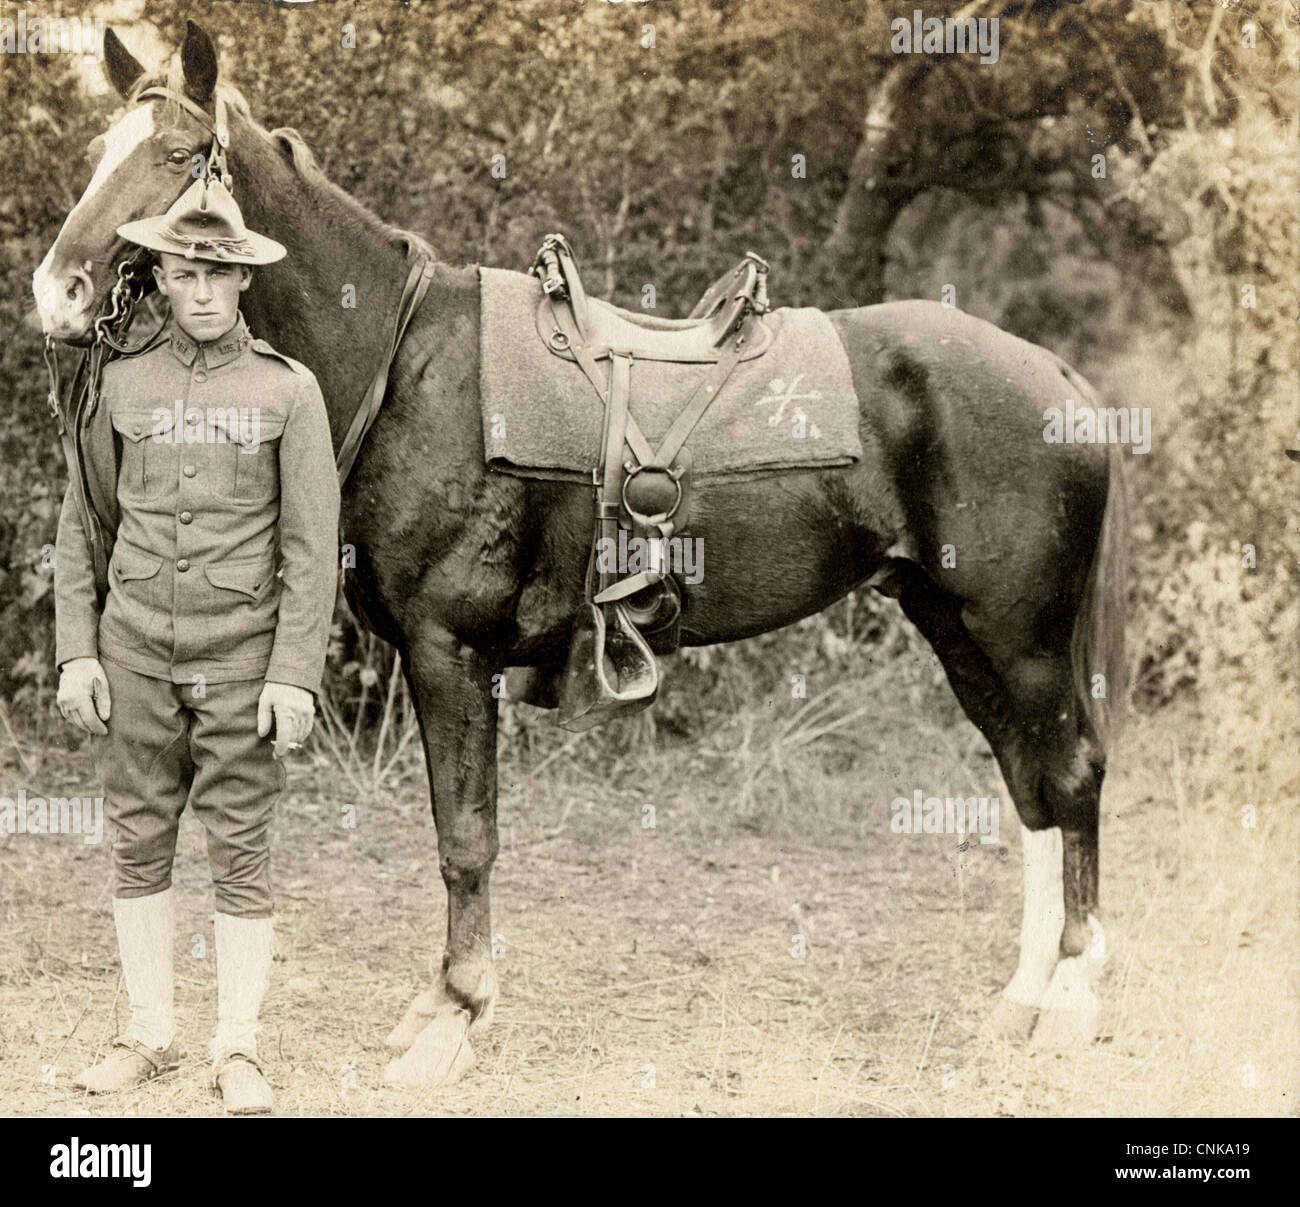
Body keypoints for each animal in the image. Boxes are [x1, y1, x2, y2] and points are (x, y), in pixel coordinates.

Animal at [33, 21, 1126, 1085]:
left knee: (1068, 775)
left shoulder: (450, 652)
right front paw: (439, 1005)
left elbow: (465, 838)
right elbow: (458, 830)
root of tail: (1059, 376)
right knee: (1027, 783)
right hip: (956, 626)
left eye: (179, 156)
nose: (59, 292)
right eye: (97, 154)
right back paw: (1021, 1002)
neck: (407, 364)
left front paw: (454, 1016)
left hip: (1018, 635)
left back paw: (1072, 1004)